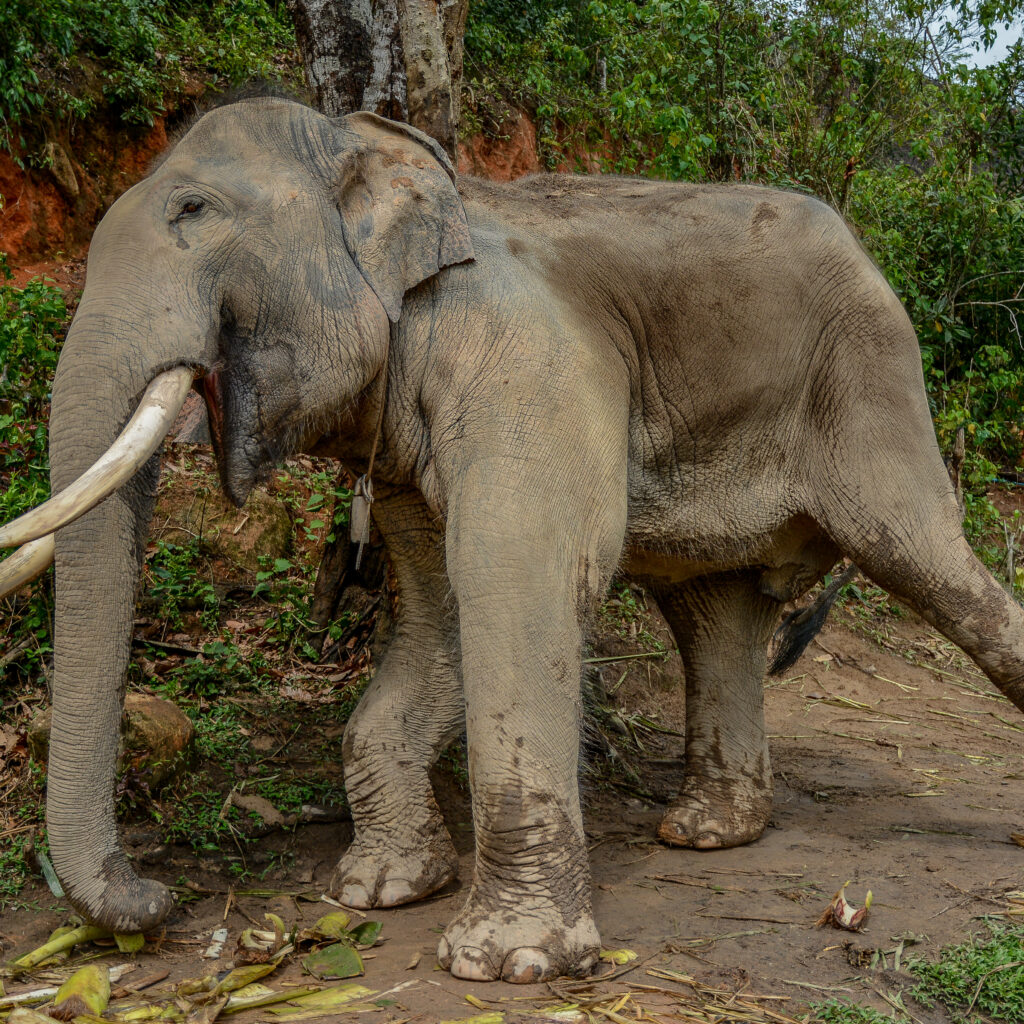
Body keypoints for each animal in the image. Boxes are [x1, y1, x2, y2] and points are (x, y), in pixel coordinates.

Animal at [3, 94, 1024, 985]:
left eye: (193, 211)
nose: (158, 897)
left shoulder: (526, 359)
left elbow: (518, 579)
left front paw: (509, 963)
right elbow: (443, 610)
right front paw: (377, 890)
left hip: (871, 387)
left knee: (937, 572)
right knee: (714, 612)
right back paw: (706, 832)